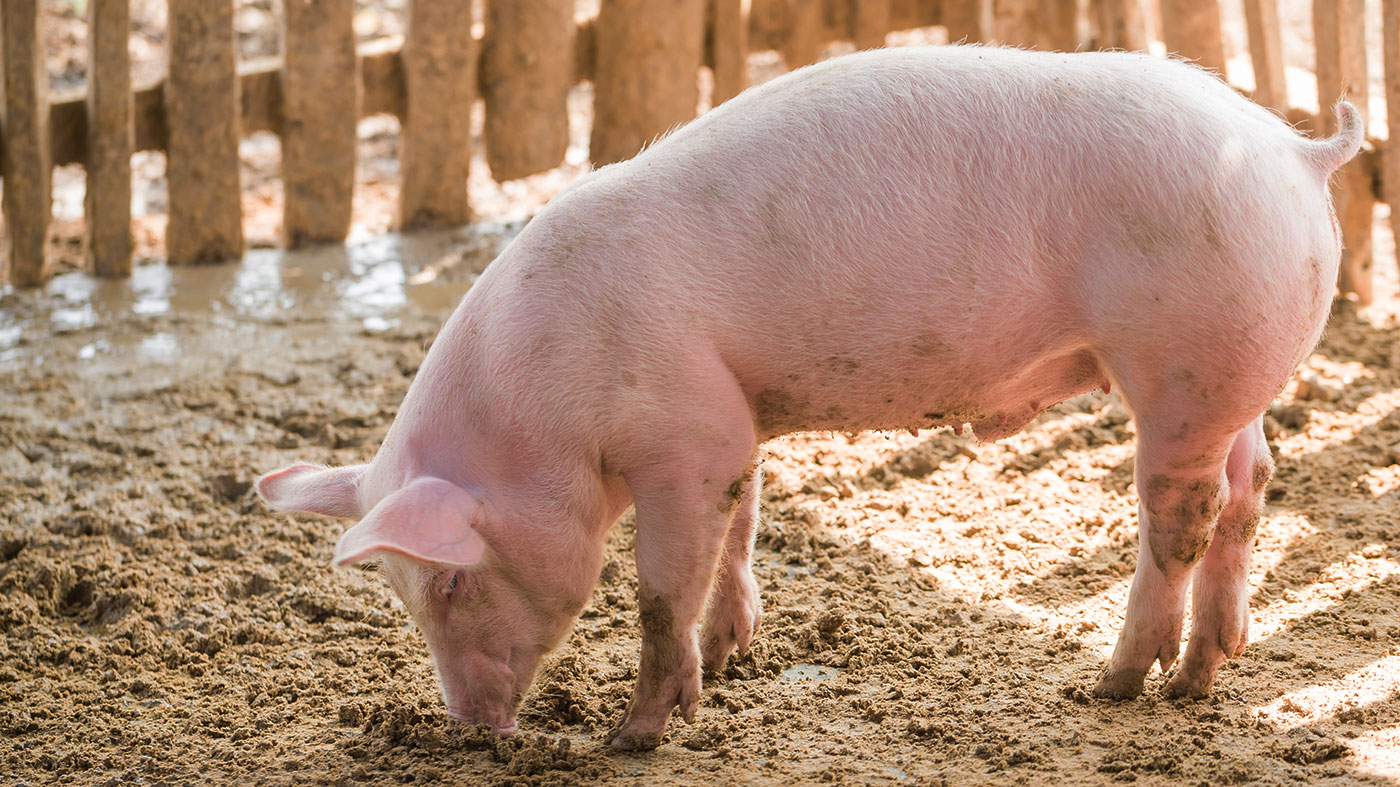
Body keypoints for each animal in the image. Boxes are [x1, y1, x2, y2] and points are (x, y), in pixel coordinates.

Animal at [258, 45, 1362, 749]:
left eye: (448, 583)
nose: (469, 727)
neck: (546, 403)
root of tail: (1298, 152)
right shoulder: (730, 414)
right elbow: (738, 529)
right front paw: (729, 658)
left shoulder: (683, 435)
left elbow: (659, 589)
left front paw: (633, 735)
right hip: (1227, 376)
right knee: (1250, 484)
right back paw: (1202, 669)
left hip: (1179, 363)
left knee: (1179, 514)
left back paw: (1116, 682)